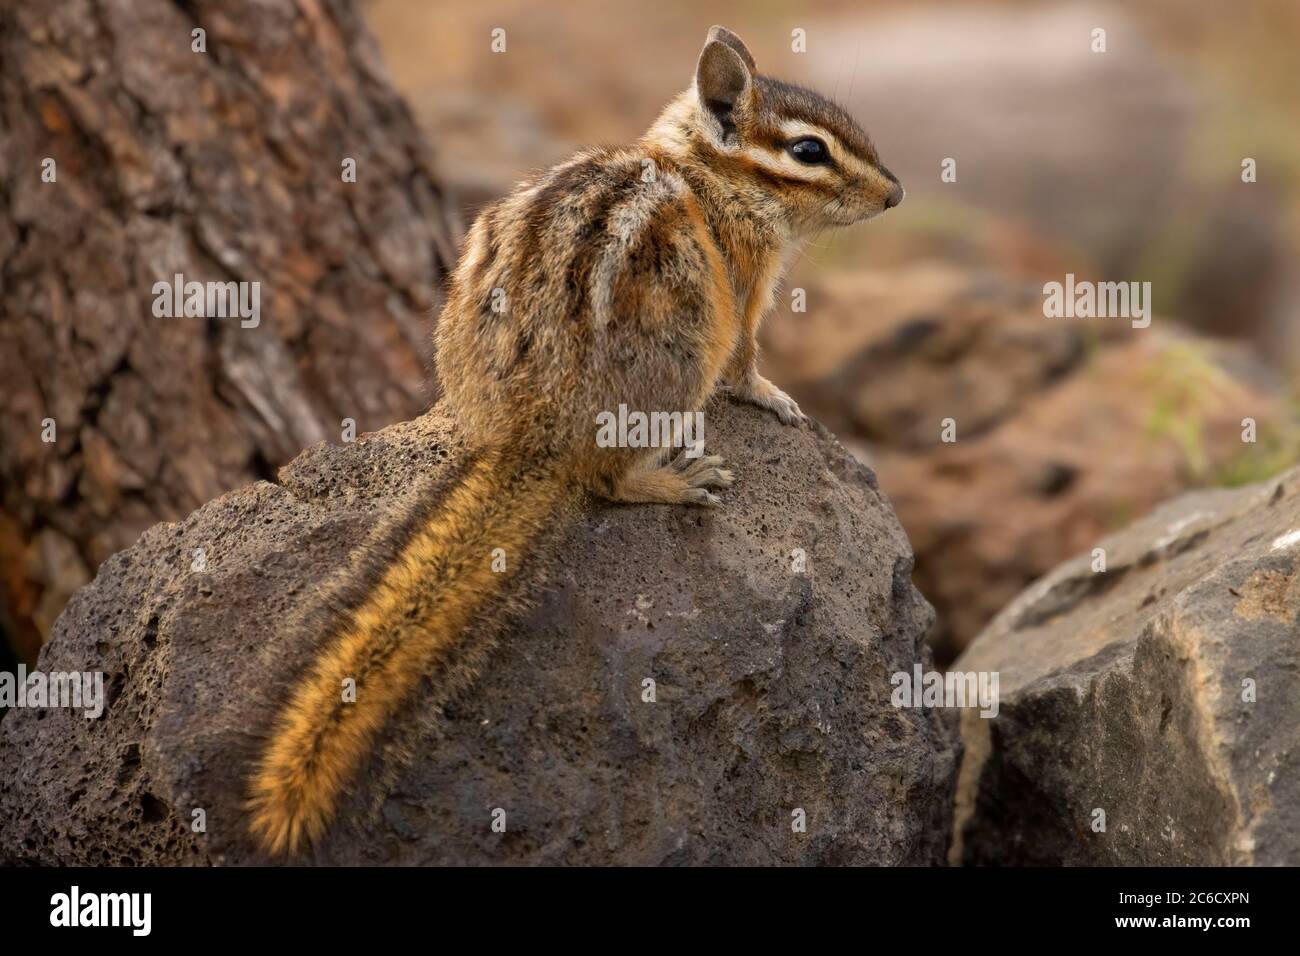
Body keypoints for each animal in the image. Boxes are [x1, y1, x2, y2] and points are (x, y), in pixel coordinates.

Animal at [246, 25, 903, 855]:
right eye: (810, 150)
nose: (896, 193)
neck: (703, 173)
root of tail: (532, 427)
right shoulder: (745, 280)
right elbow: (747, 362)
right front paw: (777, 398)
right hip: (683, 352)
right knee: (610, 480)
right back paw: (675, 480)